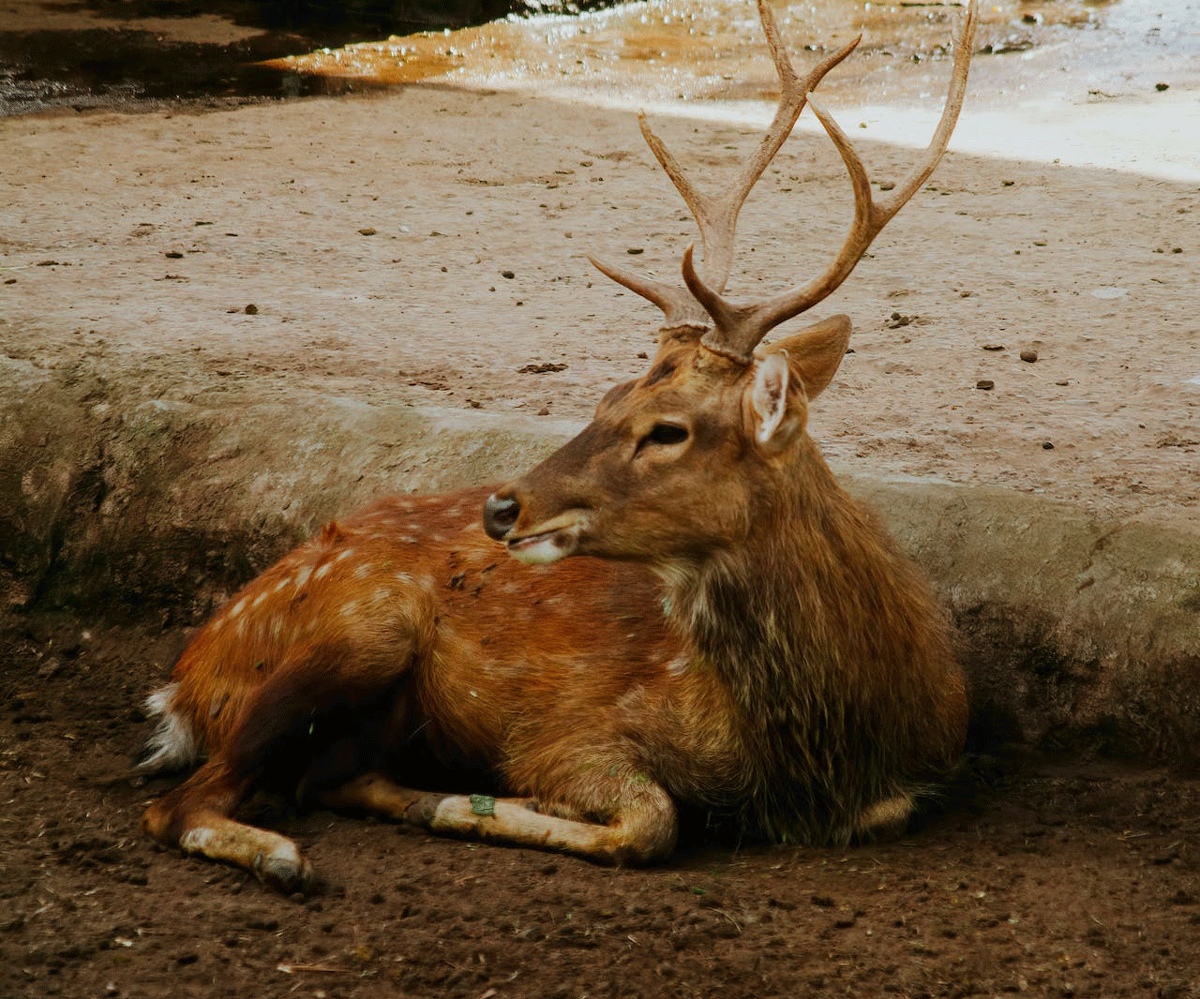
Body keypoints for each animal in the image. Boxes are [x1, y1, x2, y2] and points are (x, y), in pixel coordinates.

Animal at [136, 0, 978, 893]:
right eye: (605, 398)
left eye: (666, 427)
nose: (502, 506)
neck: (831, 747)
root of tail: (185, 679)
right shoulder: (568, 728)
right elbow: (651, 818)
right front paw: (495, 807)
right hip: (360, 626)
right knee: (180, 802)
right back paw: (289, 853)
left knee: (320, 779)